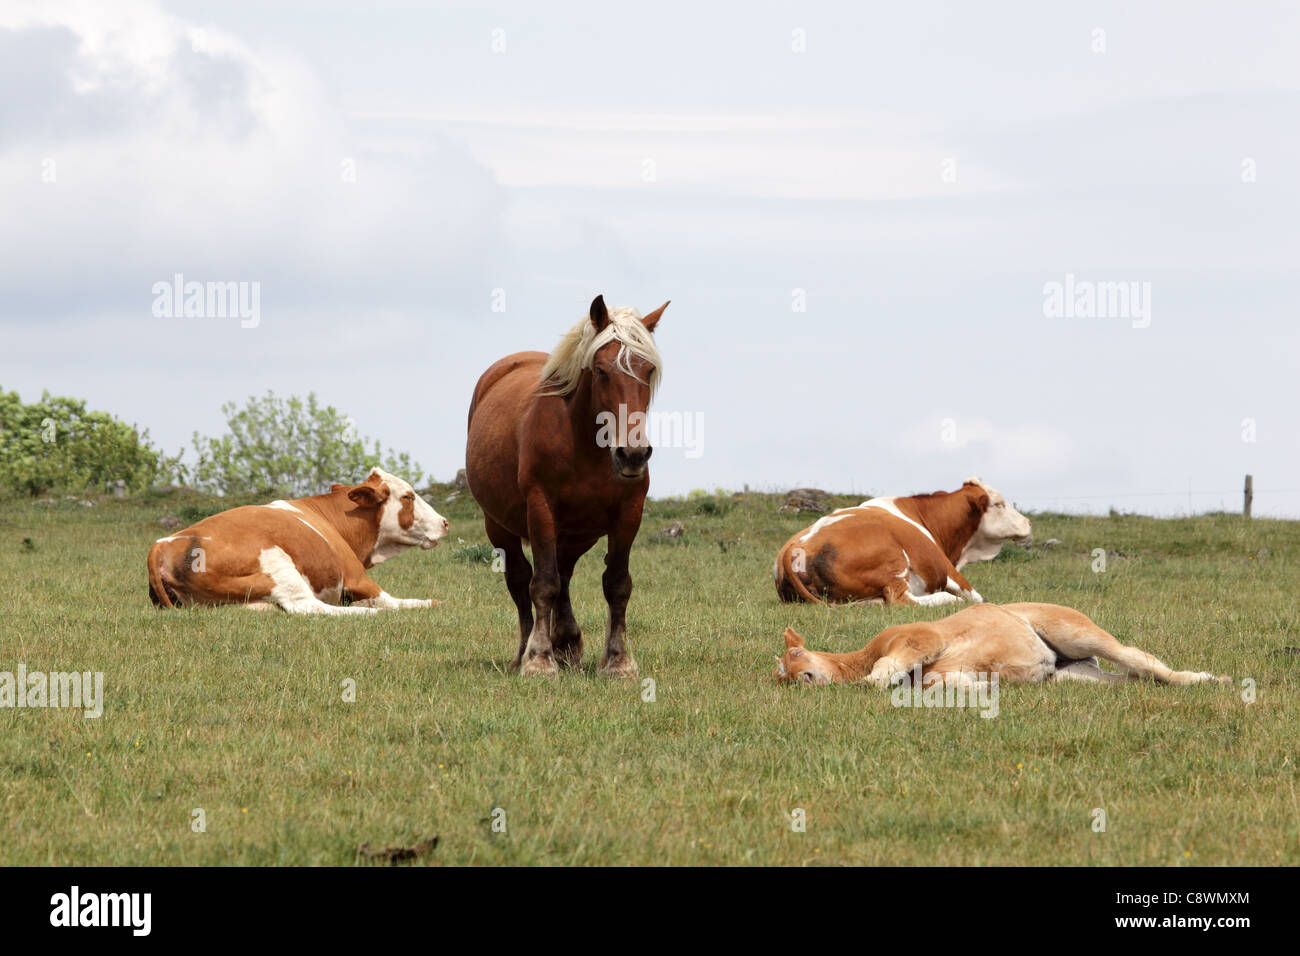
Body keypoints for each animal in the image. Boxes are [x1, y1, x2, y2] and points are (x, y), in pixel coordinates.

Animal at [146, 468, 449, 614]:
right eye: (408, 496)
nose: (445, 522)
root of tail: (164, 543)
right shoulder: (357, 577)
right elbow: (397, 602)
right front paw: (430, 603)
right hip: (279, 566)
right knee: (308, 607)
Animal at [465, 294, 669, 677]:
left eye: (648, 369)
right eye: (601, 370)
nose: (633, 454)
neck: (585, 446)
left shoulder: (629, 513)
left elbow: (617, 584)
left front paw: (618, 661)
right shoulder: (540, 508)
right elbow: (543, 584)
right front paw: (539, 660)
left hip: (576, 534)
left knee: (565, 575)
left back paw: (567, 644)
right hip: (499, 526)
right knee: (522, 580)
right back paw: (525, 651)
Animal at [773, 477, 1030, 606]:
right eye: (999, 504)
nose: (1028, 522)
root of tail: (797, 546)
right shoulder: (948, 570)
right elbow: (978, 597)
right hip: (893, 559)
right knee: (903, 600)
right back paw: (947, 599)